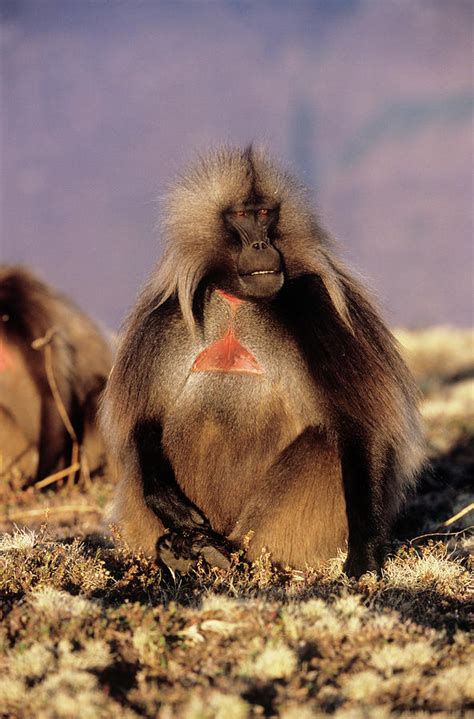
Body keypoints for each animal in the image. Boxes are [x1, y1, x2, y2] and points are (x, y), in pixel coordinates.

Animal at [101, 145, 425, 578]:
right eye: (242, 215)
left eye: (266, 213)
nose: (259, 245)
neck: (238, 300)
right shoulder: (165, 319)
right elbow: (145, 419)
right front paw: (164, 500)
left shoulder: (318, 304)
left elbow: (362, 425)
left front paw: (365, 559)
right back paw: (185, 548)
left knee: (326, 440)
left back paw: (222, 553)